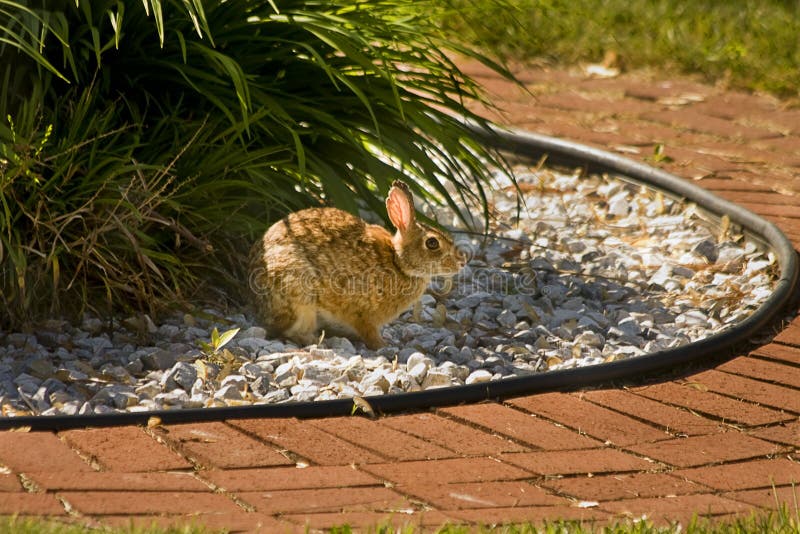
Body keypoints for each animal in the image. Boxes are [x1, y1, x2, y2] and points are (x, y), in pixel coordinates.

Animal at [249, 180, 466, 349]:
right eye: (432, 243)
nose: (462, 261)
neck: (398, 262)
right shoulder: (362, 313)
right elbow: (368, 331)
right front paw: (383, 345)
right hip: (299, 297)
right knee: (287, 330)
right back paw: (315, 341)